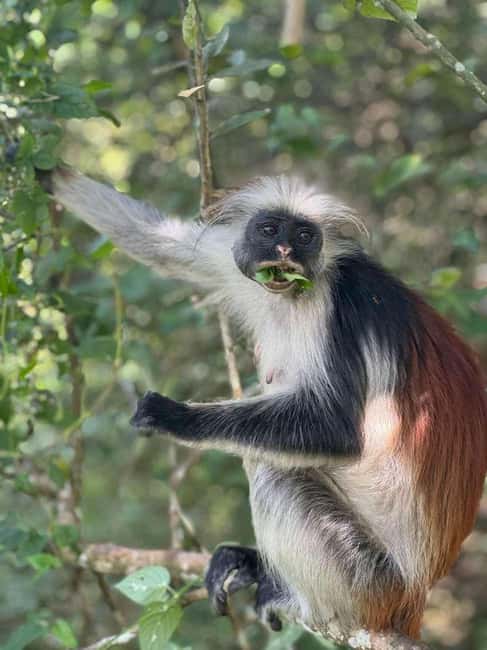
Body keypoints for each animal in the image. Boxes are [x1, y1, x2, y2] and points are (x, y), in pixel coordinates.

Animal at [40, 167, 487, 640]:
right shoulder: (237, 260)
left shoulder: (341, 305)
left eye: (305, 236)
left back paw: (294, 596)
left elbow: (334, 428)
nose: (285, 250)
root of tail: (416, 593)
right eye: (270, 230)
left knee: (275, 472)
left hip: (370, 578)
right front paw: (47, 174)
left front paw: (175, 417)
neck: (292, 299)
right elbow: (165, 245)